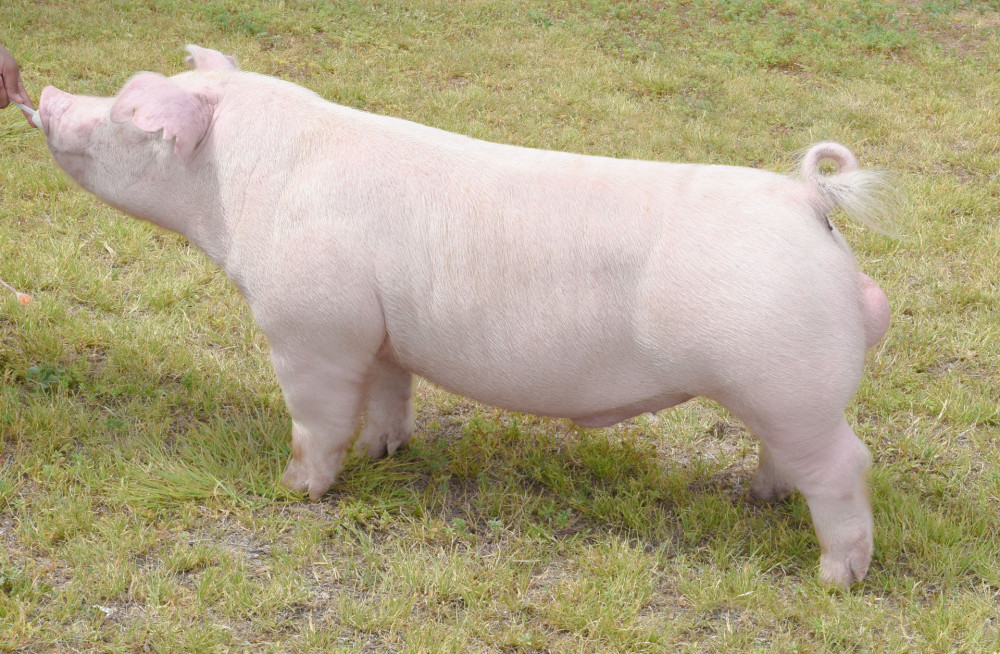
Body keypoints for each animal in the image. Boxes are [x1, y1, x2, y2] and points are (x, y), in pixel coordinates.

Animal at [39, 45, 891, 587]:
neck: (241, 190)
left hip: (789, 380)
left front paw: (294, 490)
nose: (45, 98)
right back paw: (762, 499)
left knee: (847, 465)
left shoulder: (310, 328)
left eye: (127, 111)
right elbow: (390, 393)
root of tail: (810, 202)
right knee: (791, 459)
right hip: (781, 394)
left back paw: (835, 580)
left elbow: (317, 418)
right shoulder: (379, 333)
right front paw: (385, 452)